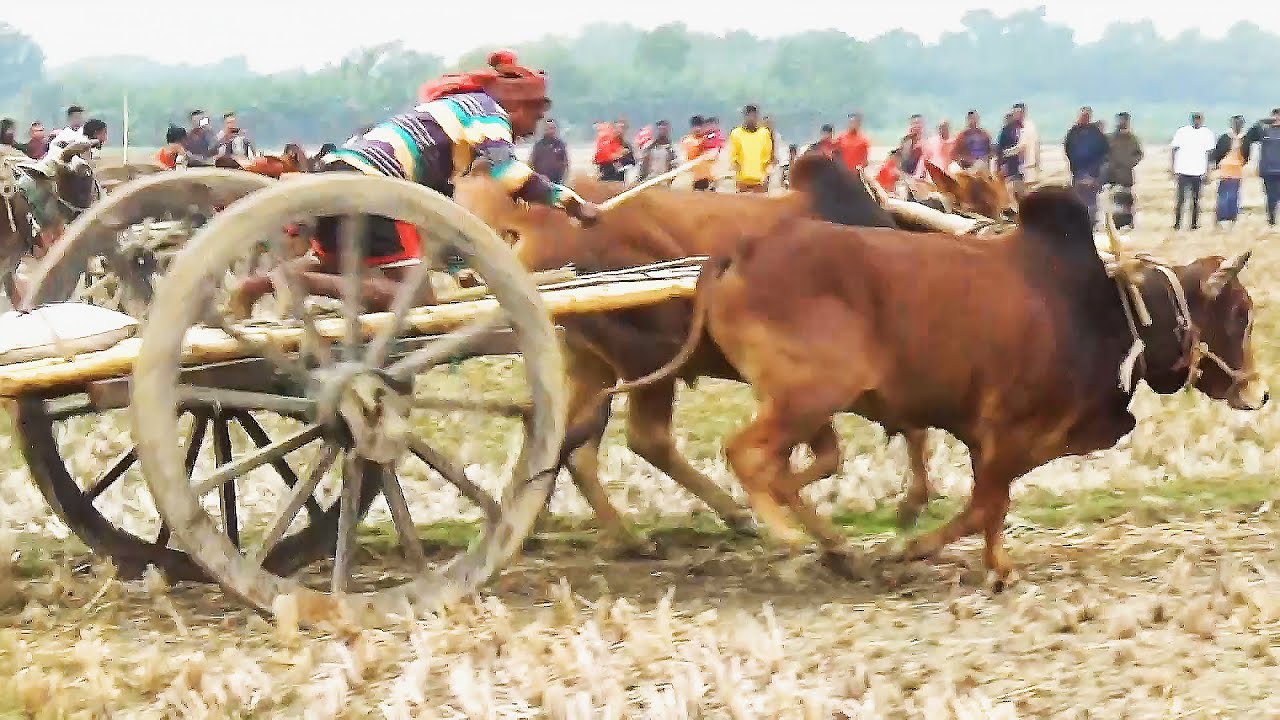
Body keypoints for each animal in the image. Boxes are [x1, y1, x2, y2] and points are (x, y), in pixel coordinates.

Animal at [453, 153, 934, 551]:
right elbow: (888, 437)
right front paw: (907, 505)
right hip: (646, 357)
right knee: (643, 439)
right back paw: (731, 514)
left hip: (592, 363)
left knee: (567, 443)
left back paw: (582, 531)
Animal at [602, 187, 1267, 586]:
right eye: (1239, 314)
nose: (1258, 393)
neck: (1107, 309)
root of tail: (739, 254)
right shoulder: (1007, 431)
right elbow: (983, 505)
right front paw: (921, 551)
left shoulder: (1001, 439)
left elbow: (992, 506)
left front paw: (990, 564)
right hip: (809, 396)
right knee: (746, 455)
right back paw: (788, 539)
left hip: (800, 405)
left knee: (782, 467)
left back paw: (830, 547)